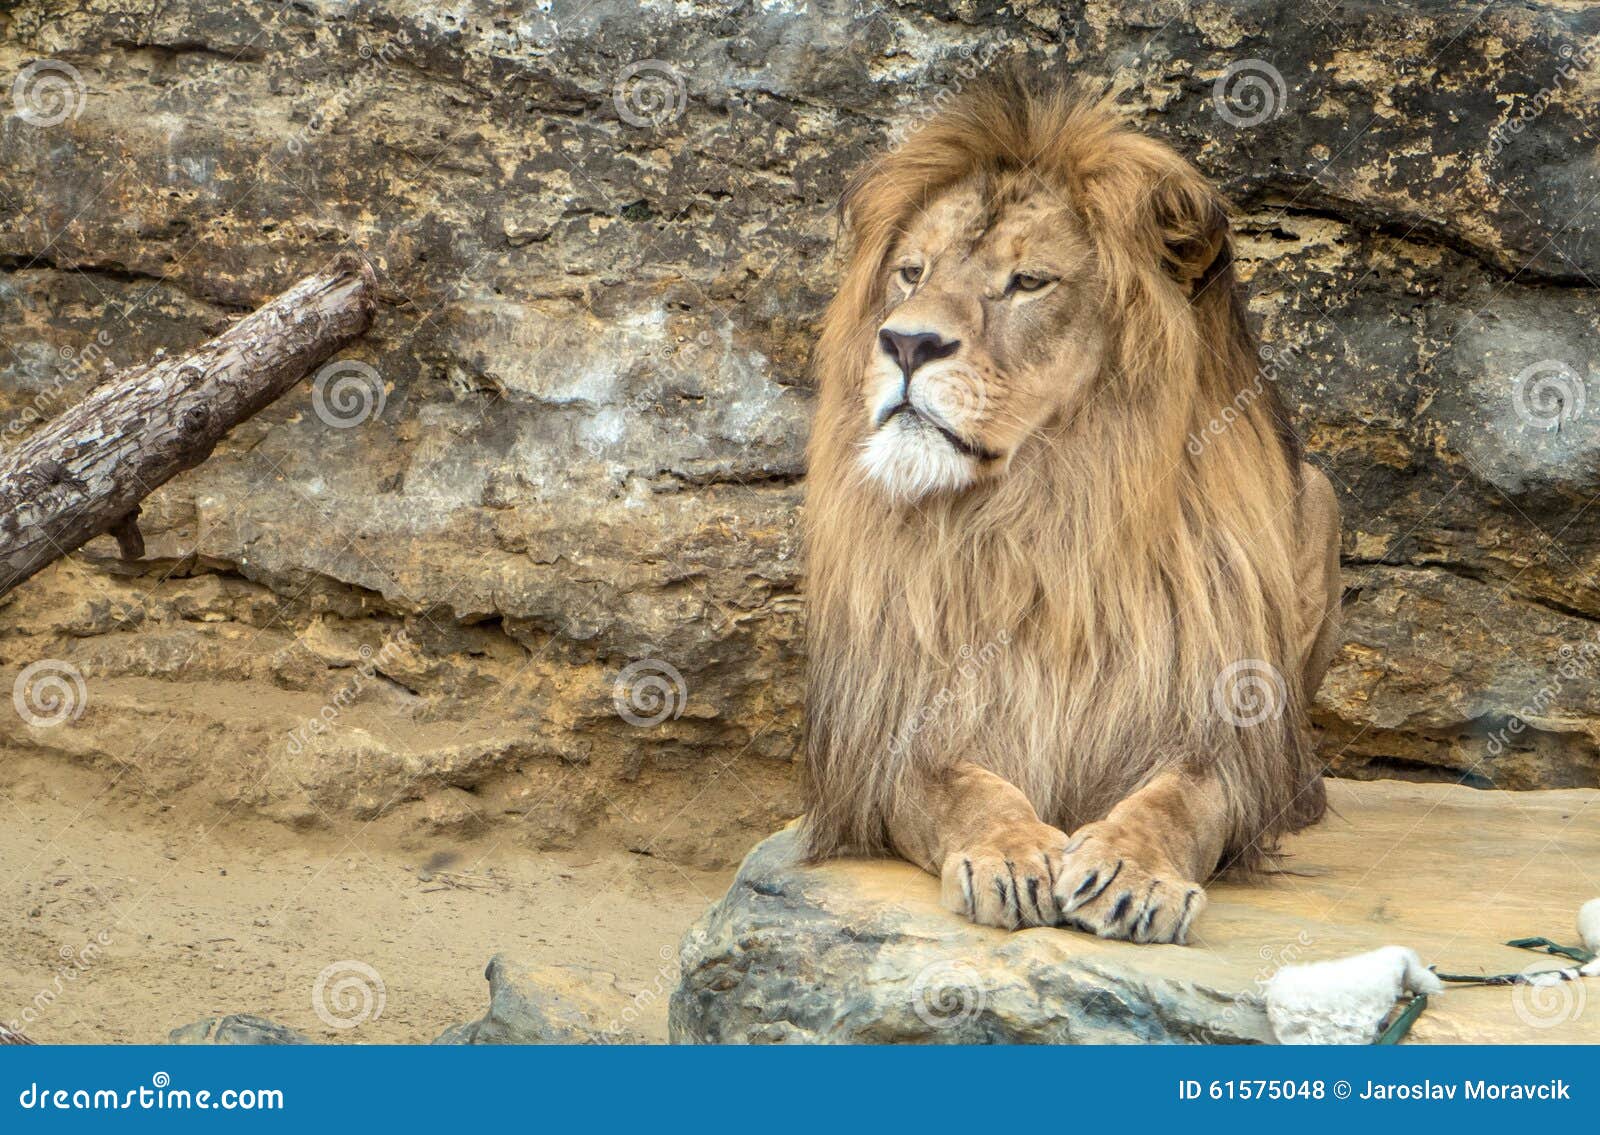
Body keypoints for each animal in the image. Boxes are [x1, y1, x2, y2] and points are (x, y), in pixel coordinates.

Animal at [801, 77, 1342, 945]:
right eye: (911, 273)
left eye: (1029, 283)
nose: (906, 343)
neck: (1039, 515)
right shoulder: (890, 740)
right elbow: (961, 788)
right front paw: (1010, 851)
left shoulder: (1217, 734)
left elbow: (1179, 802)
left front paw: (1133, 871)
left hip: (1318, 496)